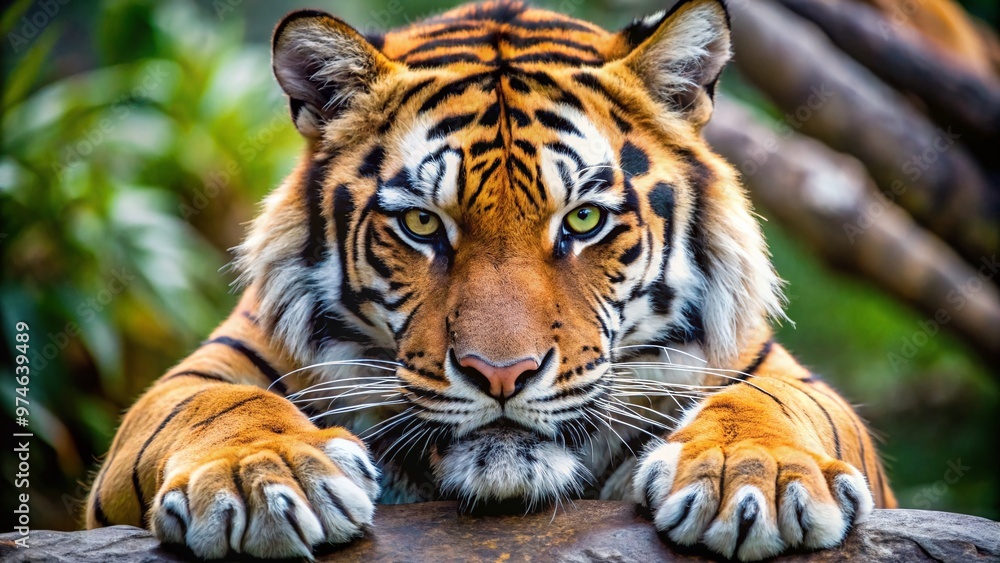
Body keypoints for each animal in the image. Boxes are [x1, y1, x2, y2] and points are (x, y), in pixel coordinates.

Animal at [85, 0, 896, 560]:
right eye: (422, 224)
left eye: (583, 219)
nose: (500, 374)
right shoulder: (203, 371)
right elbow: (214, 404)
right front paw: (260, 475)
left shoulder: (777, 372)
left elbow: (773, 399)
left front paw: (757, 477)